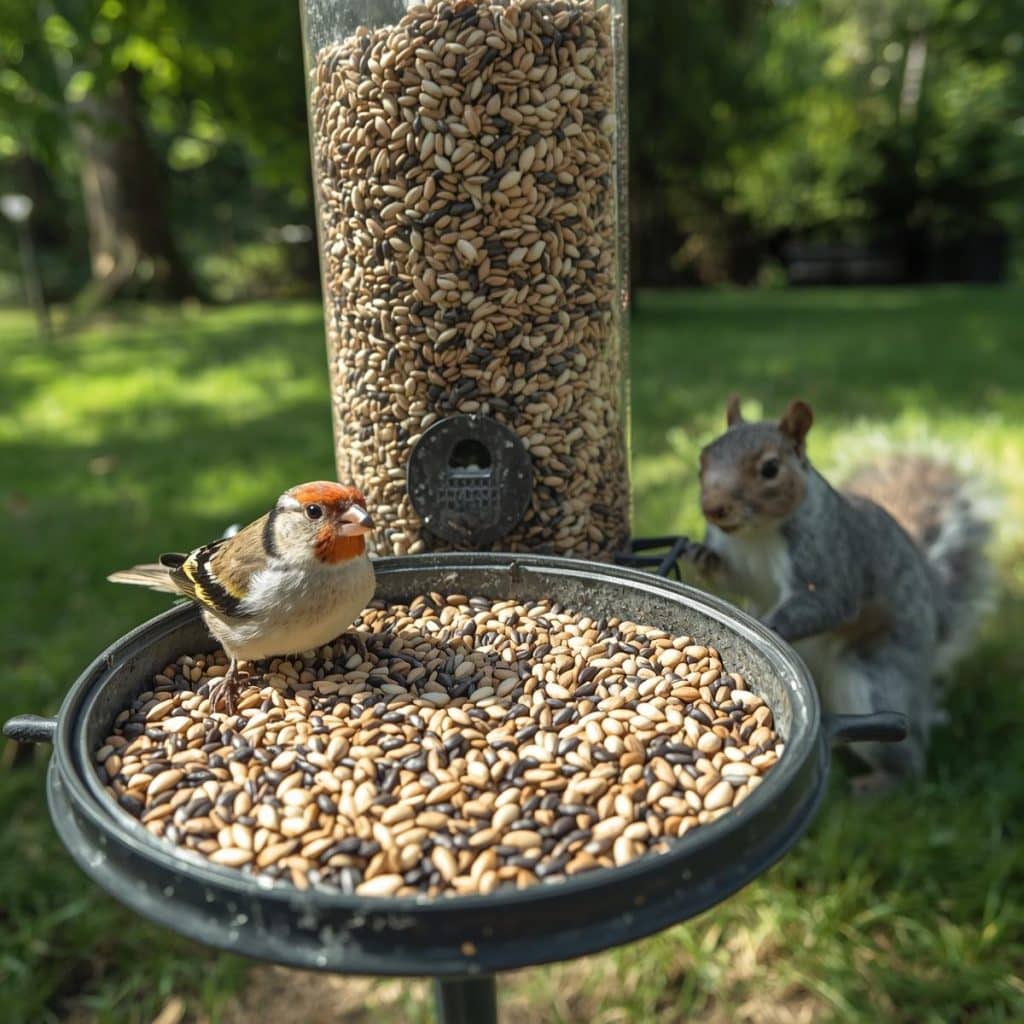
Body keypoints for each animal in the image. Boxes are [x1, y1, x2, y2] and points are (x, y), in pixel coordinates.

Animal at [679, 395, 992, 788]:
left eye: (770, 468)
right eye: (704, 458)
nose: (713, 508)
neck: (758, 534)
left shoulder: (827, 557)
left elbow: (830, 603)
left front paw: (768, 627)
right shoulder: (736, 558)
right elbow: (729, 580)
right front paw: (699, 558)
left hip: (872, 676)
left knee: (906, 752)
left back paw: (881, 782)